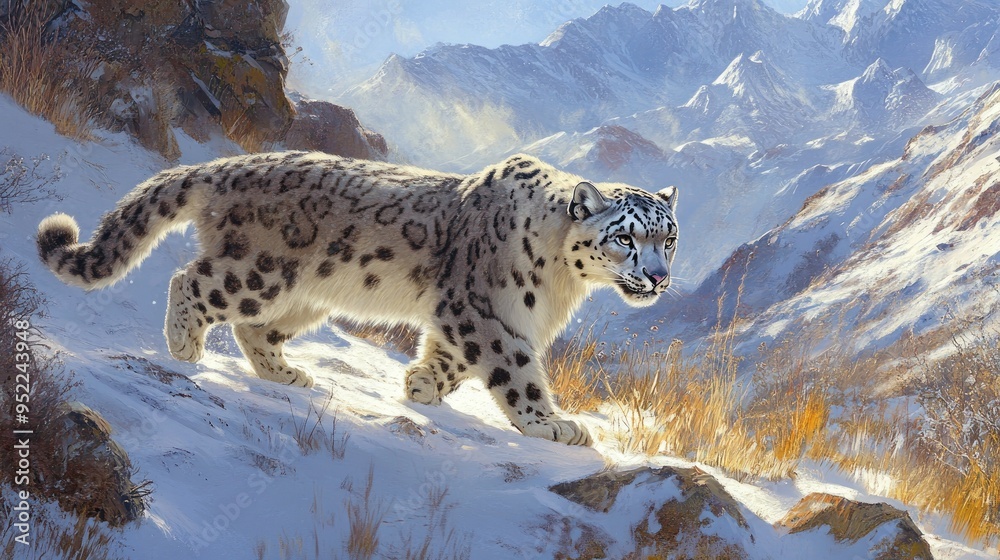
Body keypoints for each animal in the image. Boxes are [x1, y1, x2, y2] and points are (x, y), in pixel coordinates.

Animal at [36, 151, 678, 446]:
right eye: (626, 238)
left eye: (668, 237)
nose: (657, 279)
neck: (563, 284)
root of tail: (226, 165)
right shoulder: (488, 312)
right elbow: (515, 370)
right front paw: (552, 425)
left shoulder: (469, 316)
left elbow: (450, 358)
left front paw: (420, 385)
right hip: (257, 272)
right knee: (189, 282)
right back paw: (185, 349)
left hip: (303, 296)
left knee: (253, 328)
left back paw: (287, 375)